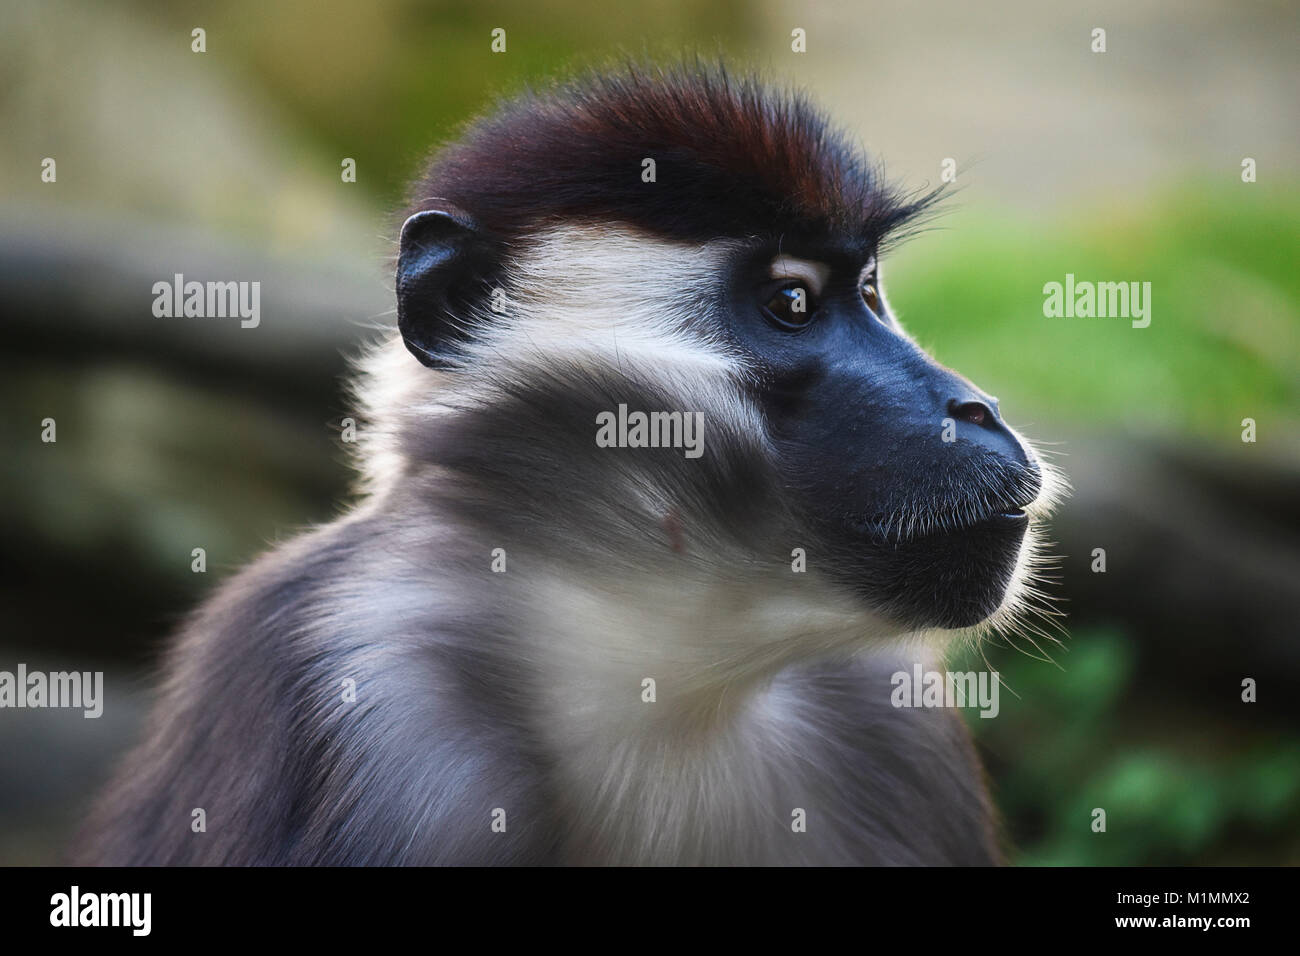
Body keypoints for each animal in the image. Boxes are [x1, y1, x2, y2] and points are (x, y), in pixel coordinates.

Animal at [75, 64, 1064, 866]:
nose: (972, 409)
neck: (669, 677)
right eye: (792, 301)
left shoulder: (886, 718)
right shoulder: (363, 700)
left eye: (866, 291)